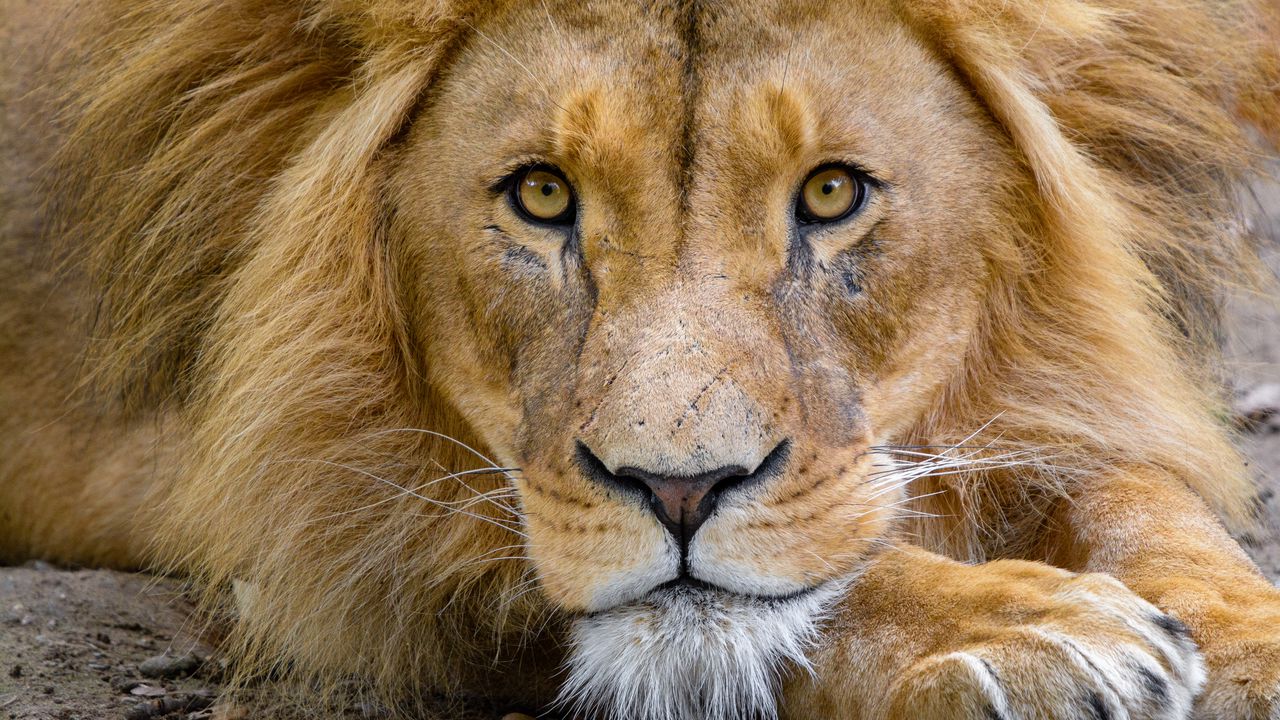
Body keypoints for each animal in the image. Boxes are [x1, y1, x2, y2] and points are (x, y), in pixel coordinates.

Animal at [3, 0, 1280, 718]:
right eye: (540, 196)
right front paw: (1014, 629)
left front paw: (1246, 643)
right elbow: (796, 602)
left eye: (830, 194)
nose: (678, 490)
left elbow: (1142, 501)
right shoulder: (315, 513)